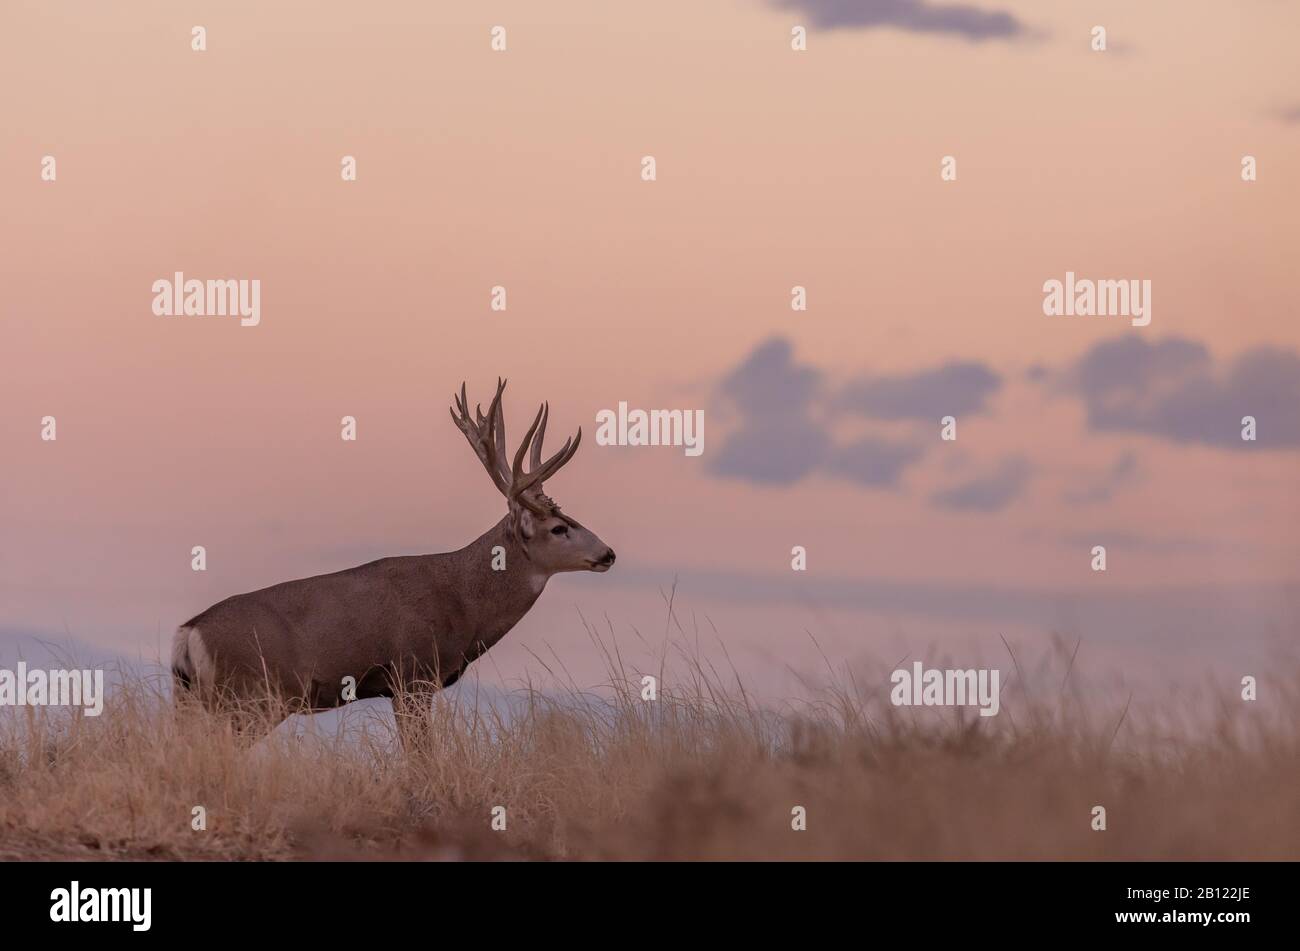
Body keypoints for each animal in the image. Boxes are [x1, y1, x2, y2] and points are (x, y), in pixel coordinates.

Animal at [170, 379, 616, 748]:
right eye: (559, 527)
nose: (608, 553)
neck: (464, 600)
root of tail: (188, 632)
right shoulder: (413, 674)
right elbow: (420, 755)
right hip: (250, 697)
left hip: (199, 699)